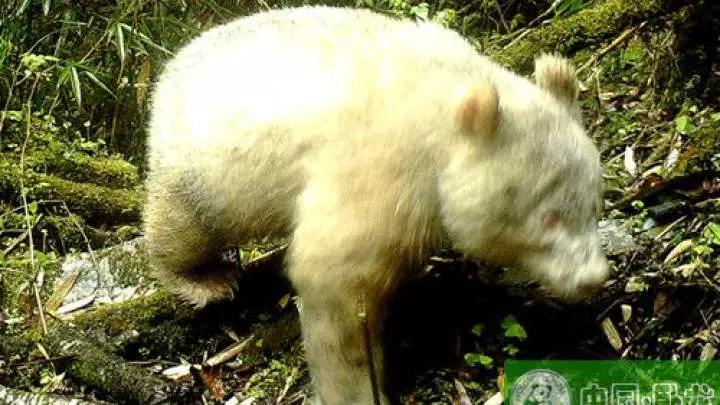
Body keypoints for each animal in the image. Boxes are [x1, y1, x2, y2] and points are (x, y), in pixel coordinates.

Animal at [143, 6, 612, 404]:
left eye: (594, 205)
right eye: (549, 217)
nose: (593, 277)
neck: (444, 112)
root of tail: (172, 67)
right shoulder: (380, 169)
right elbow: (335, 281)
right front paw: (359, 389)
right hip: (204, 166)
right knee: (183, 224)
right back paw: (204, 279)